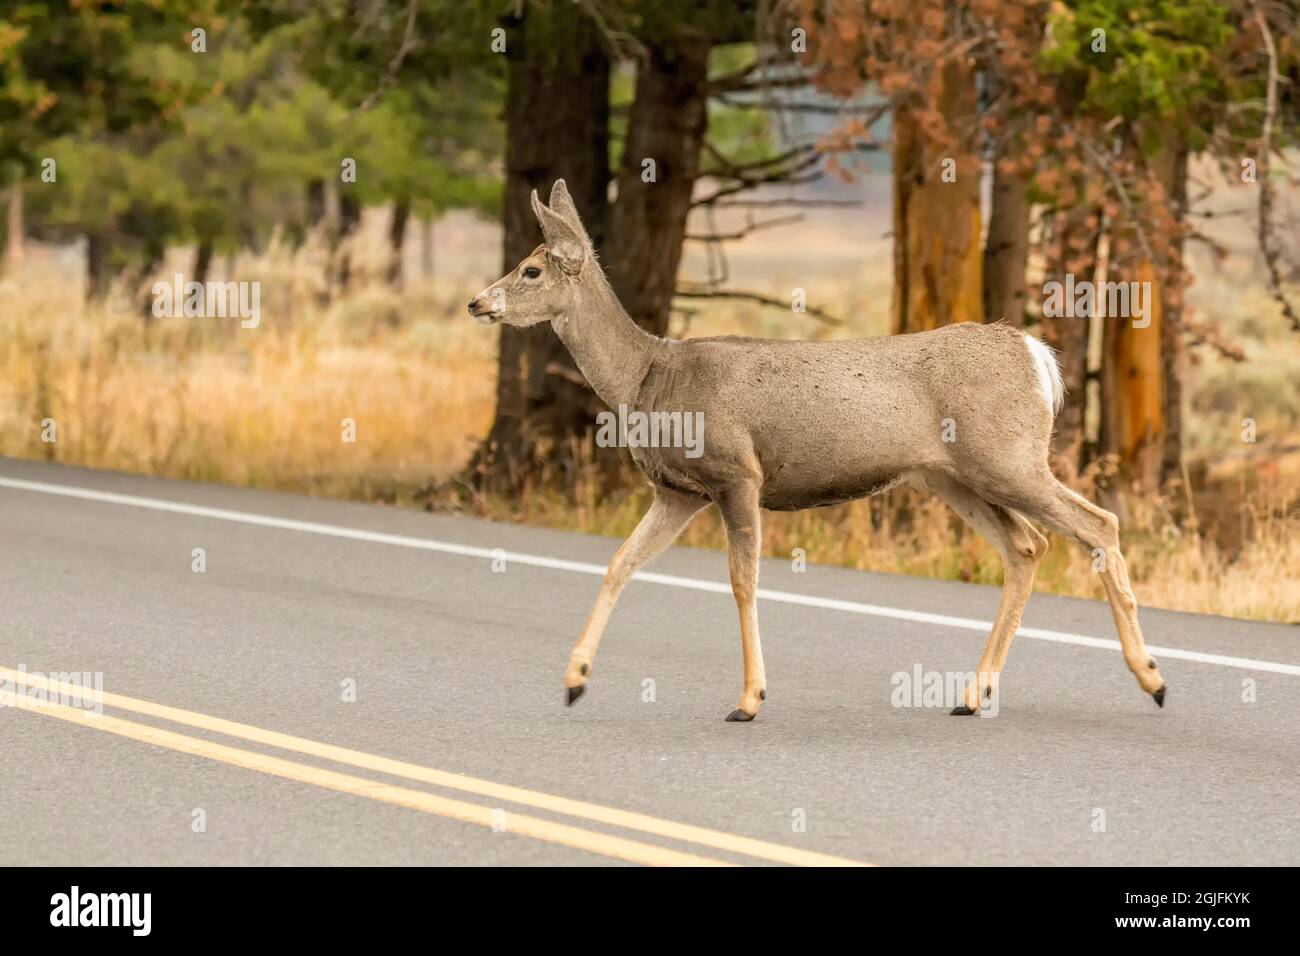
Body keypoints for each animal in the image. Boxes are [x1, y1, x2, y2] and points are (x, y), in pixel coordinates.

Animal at [468, 179, 1167, 722]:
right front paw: (574, 680)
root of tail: (1038, 357)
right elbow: (619, 563)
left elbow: (742, 581)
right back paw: (975, 694)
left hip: (1008, 457)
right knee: (1028, 546)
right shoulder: (677, 492)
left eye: (531, 269)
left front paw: (749, 699)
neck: (647, 378)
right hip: (952, 476)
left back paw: (1152, 679)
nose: (477, 301)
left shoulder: (737, 474)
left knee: (1098, 523)